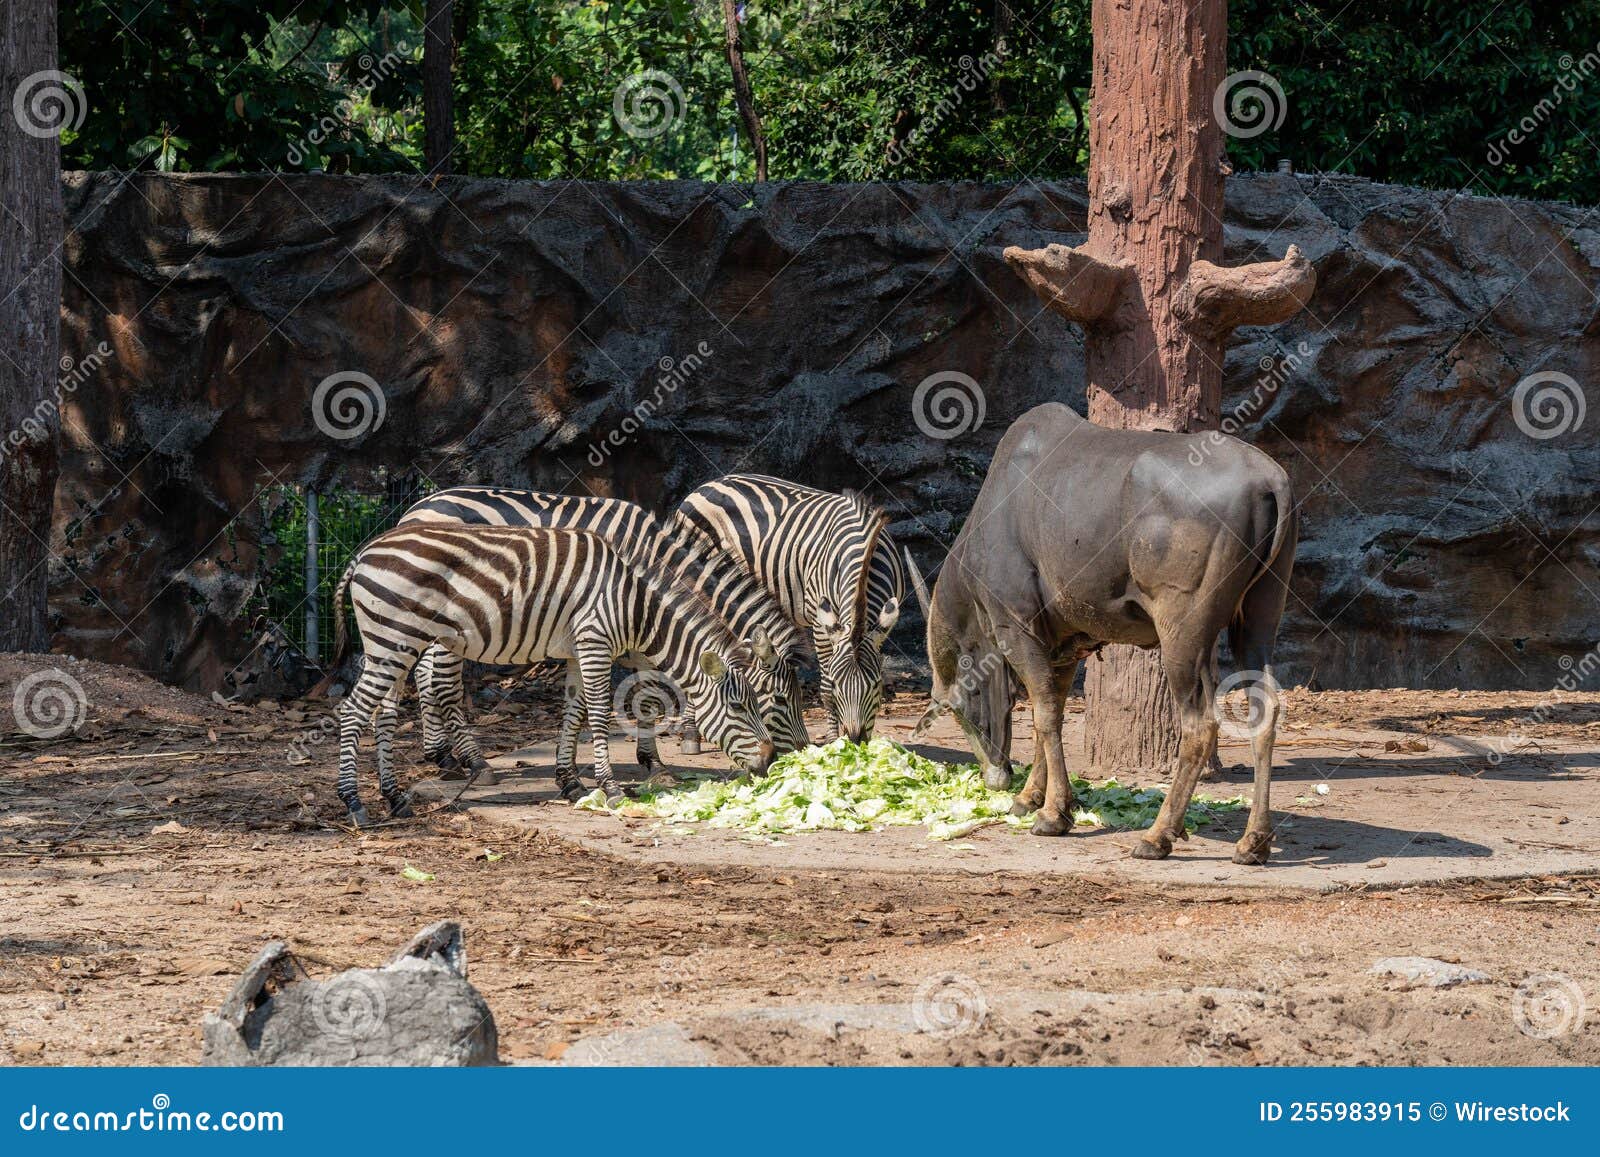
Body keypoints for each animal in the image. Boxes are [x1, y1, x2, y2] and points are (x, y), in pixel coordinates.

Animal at [330, 523, 775, 826]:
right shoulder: (594, 641)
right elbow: (598, 715)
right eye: (739, 707)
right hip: (393, 639)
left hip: (396, 643)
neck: (635, 604)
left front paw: (571, 783)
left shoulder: (579, 651)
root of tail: (363, 553)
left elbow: (573, 715)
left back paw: (394, 798)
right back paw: (354, 803)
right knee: (353, 712)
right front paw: (610, 789)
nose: (771, 761)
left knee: (383, 714)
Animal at [394, 487, 809, 775]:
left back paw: (442, 756)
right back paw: (474, 761)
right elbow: (644, 697)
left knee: (422, 672)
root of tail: (413, 509)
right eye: (779, 699)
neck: (650, 557)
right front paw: (648, 764)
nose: (800, 754)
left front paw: (639, 763)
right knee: (439, 678)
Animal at [679, 474, 907, 742]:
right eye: (838, 685)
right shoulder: (820, 621)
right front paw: (832, 740)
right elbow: (825, 688)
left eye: (876, 685)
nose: (855, 739)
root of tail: (710, 483)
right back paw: (690, 730)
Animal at [908, 402, 1296, 865]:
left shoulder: (1017, 630)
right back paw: (1254, 842)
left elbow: (1044, 714)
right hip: (1256, 624)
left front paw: (1054, 814)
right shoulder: (1063, 646)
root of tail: (1270, 481)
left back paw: (1157, 836)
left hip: (1183, 635)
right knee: (1266, 712)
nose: (994, 778)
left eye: (957, 708)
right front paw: (1031, 798)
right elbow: (1050, 713)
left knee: (1200, 725)